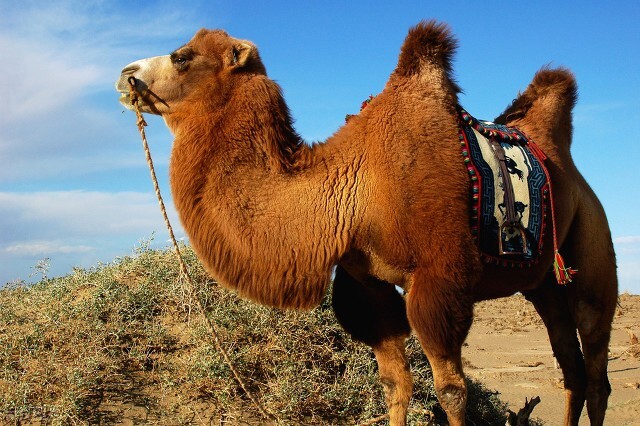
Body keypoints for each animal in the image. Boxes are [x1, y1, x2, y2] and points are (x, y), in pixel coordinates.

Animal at [116, 21, 618, 425]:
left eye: (182, 56)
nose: (124, 73)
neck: (357, 191)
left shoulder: (439, 279)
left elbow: (452, 392)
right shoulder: (368, 284)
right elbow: (396, 385)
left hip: (592, 253)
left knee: (595, 366)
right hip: (544, 283)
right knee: (570, 368)